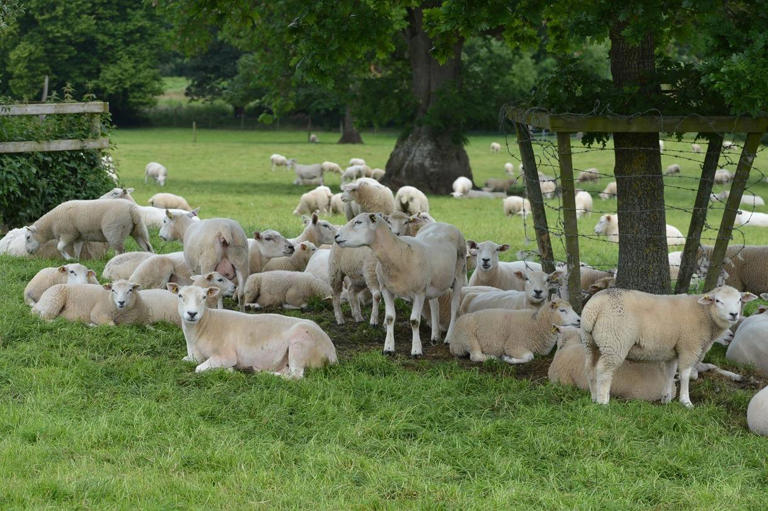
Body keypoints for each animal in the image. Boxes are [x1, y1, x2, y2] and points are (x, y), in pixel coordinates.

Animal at [24, 199, 153, 260]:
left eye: (28, 237)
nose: (28, 252)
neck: (51, 224)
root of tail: (132, 209)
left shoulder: (68, 233)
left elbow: (59, 247)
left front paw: (68, 258)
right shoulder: (78, 236)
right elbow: (77, 249)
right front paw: (76, 259)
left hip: (115, 231)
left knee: (120, 250)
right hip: (138, 229)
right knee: (147, 246)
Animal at [166, 283, 337, 377]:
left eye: (203, 297)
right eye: (180, 295)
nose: (192, 314)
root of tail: (332, 352)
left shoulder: (226, 355)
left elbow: (199, 368)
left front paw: (229, 370)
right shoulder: (193, 356)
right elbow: (187, 361)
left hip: (300, 345)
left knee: (296, 376)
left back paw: (262, 373)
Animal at [335, 213, 467, 355]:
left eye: (358, 222)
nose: (336, 236)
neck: (399, 254)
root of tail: (443, 224)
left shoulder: (419, 292)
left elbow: (414, 321)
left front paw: (416, 350)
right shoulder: (386, 289)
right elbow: (390, 318)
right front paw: (388, 348)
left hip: (459, 275)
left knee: (454, 307)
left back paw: (448, 338)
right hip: (435, 282)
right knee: (434, 305)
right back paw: (435, 336)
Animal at [447, 298, 580, 364]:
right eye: (562, 310)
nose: (579, 320)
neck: (536, 324)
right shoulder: (513, 345)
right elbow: (529, 356)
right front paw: (508, 359)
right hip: (467, 337)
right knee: (475, 356)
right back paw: (492, 358)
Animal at [581, 285, 756, 407]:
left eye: (740, 300)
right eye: (718, 300)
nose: (734, 314)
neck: (705, 315)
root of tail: (593, 308)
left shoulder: (672, 351)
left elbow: (670, 373)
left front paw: (666, 399)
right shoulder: (689, 347)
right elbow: (685, 374)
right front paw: (686, 402)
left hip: (591, 342)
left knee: (590, 368)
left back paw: (593, 397)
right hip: (615, 341)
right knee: (604, 371)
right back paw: (603, 401)